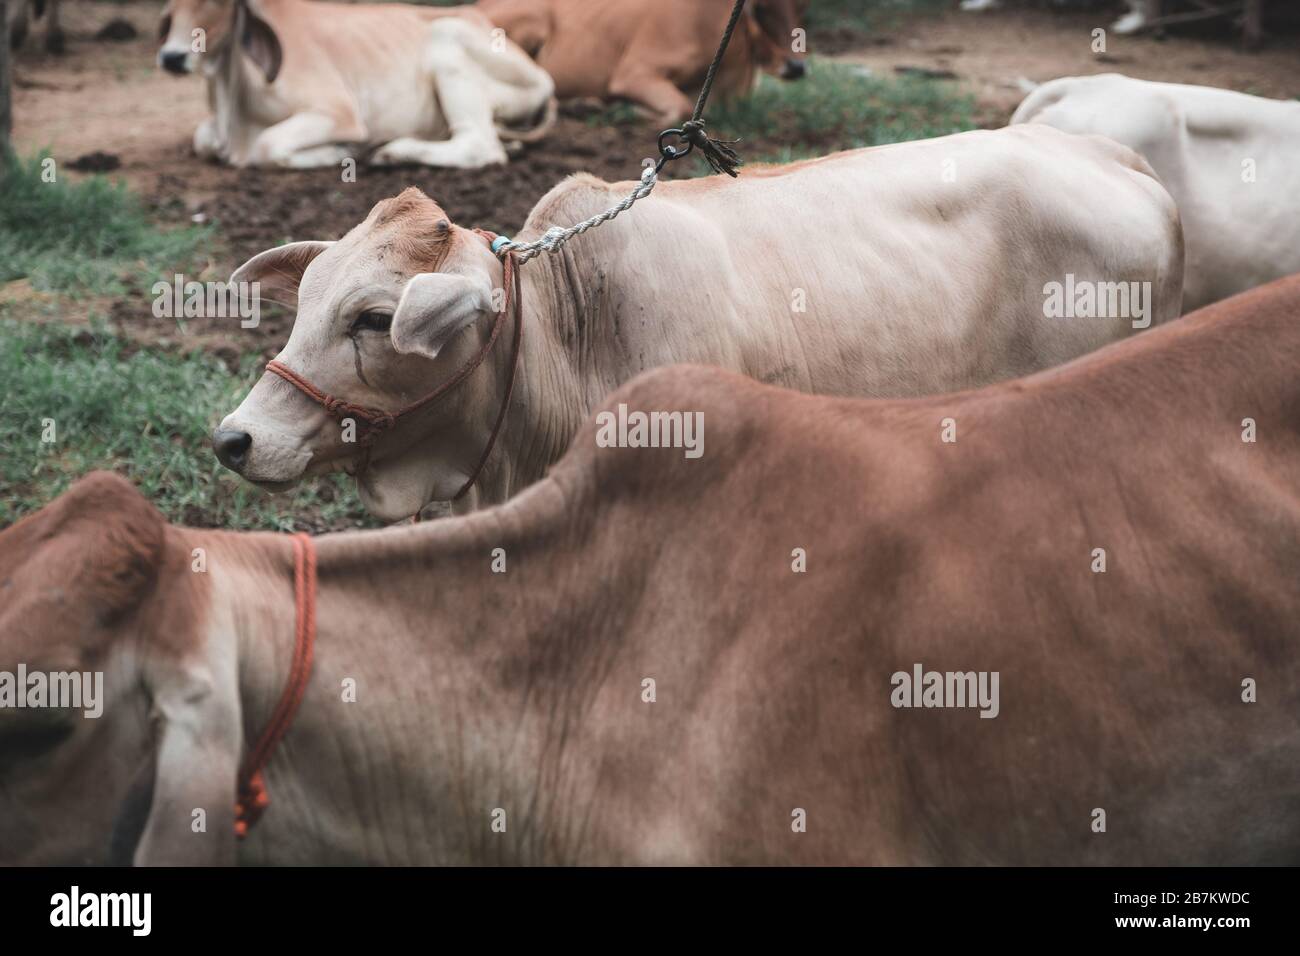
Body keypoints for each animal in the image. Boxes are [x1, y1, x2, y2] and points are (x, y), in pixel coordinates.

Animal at [156, 0, 556, 168]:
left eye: (217, 2)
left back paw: (391, 152)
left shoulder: (338, 111)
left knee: (480, 145)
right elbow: (202, 139)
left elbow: (267, 146)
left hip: (445, 36)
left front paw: (338, 152)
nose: (172, 57)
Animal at [476, 0, 810, 124]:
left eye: (801, 5)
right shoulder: (635, 73)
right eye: (761, 7)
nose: (796, 67)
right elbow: (679, 108)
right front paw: (624, 110)